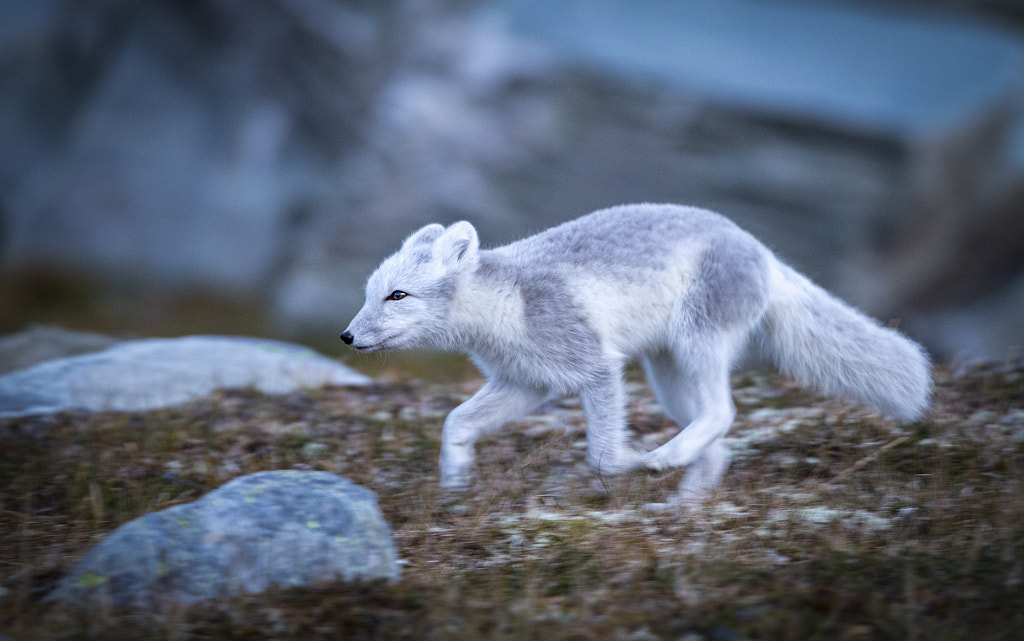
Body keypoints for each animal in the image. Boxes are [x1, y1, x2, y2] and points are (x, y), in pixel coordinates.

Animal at [340, 203, 931, 502]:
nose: (346, 337)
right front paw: (455, 484)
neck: (506, 307)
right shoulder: (526, 384)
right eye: (368, 294)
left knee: (724, 413)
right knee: (719, 443)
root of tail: (764, 252)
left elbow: (601, 454)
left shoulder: (595, 368)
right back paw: (686, 510)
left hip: (698, 342)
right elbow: (455, 423)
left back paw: (664, 461)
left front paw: (624, 463)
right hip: (667, 378)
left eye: (397, 296)